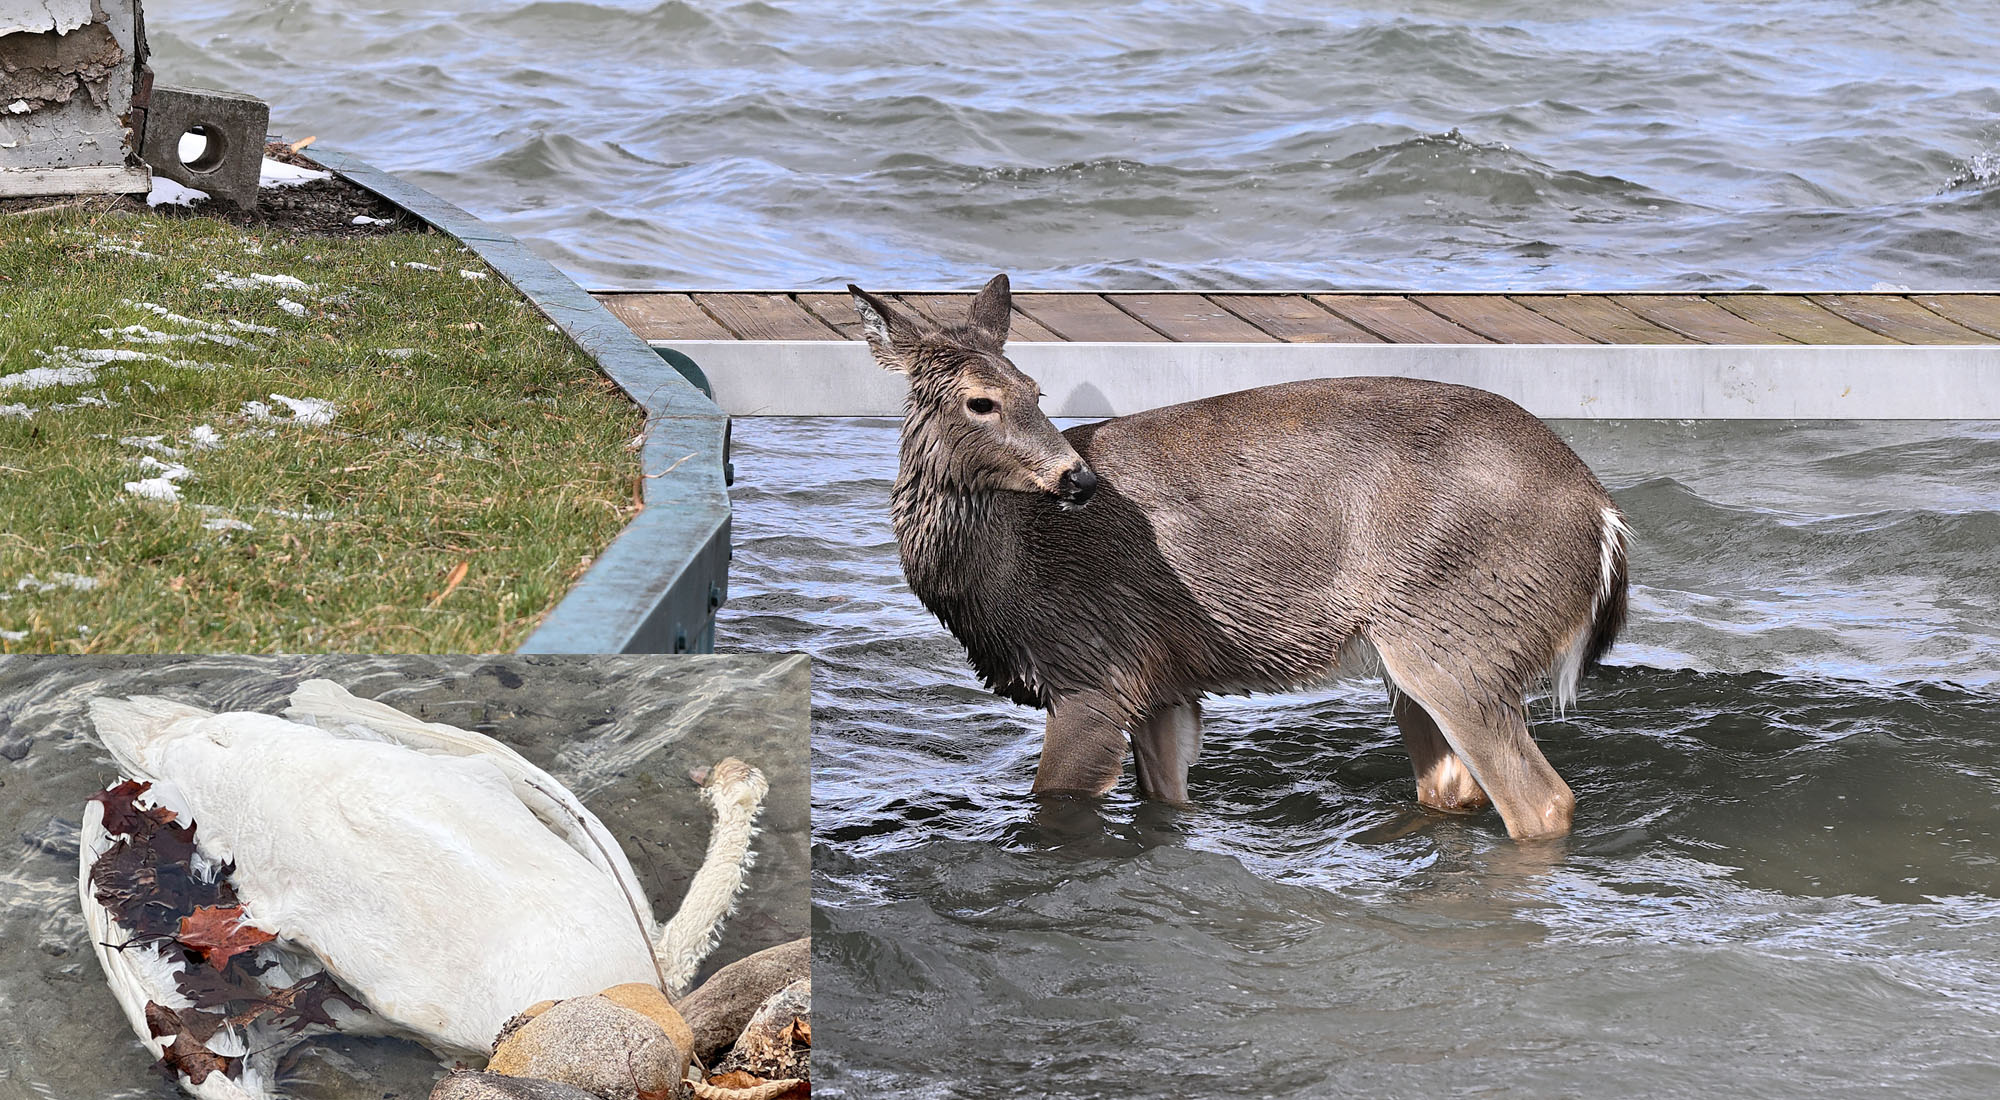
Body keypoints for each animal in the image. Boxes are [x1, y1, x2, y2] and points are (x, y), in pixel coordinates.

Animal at [849, 274, 1629, 840]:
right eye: (981, 402)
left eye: (1035, 392)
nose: (1078, 479)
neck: (1008, 568)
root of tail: (1603, 515)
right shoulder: (1161, 682)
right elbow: (1167, 800)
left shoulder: (1093, 670)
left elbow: (1057, 803)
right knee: (1452, 787)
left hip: (1458, 637)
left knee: (1542, 802)